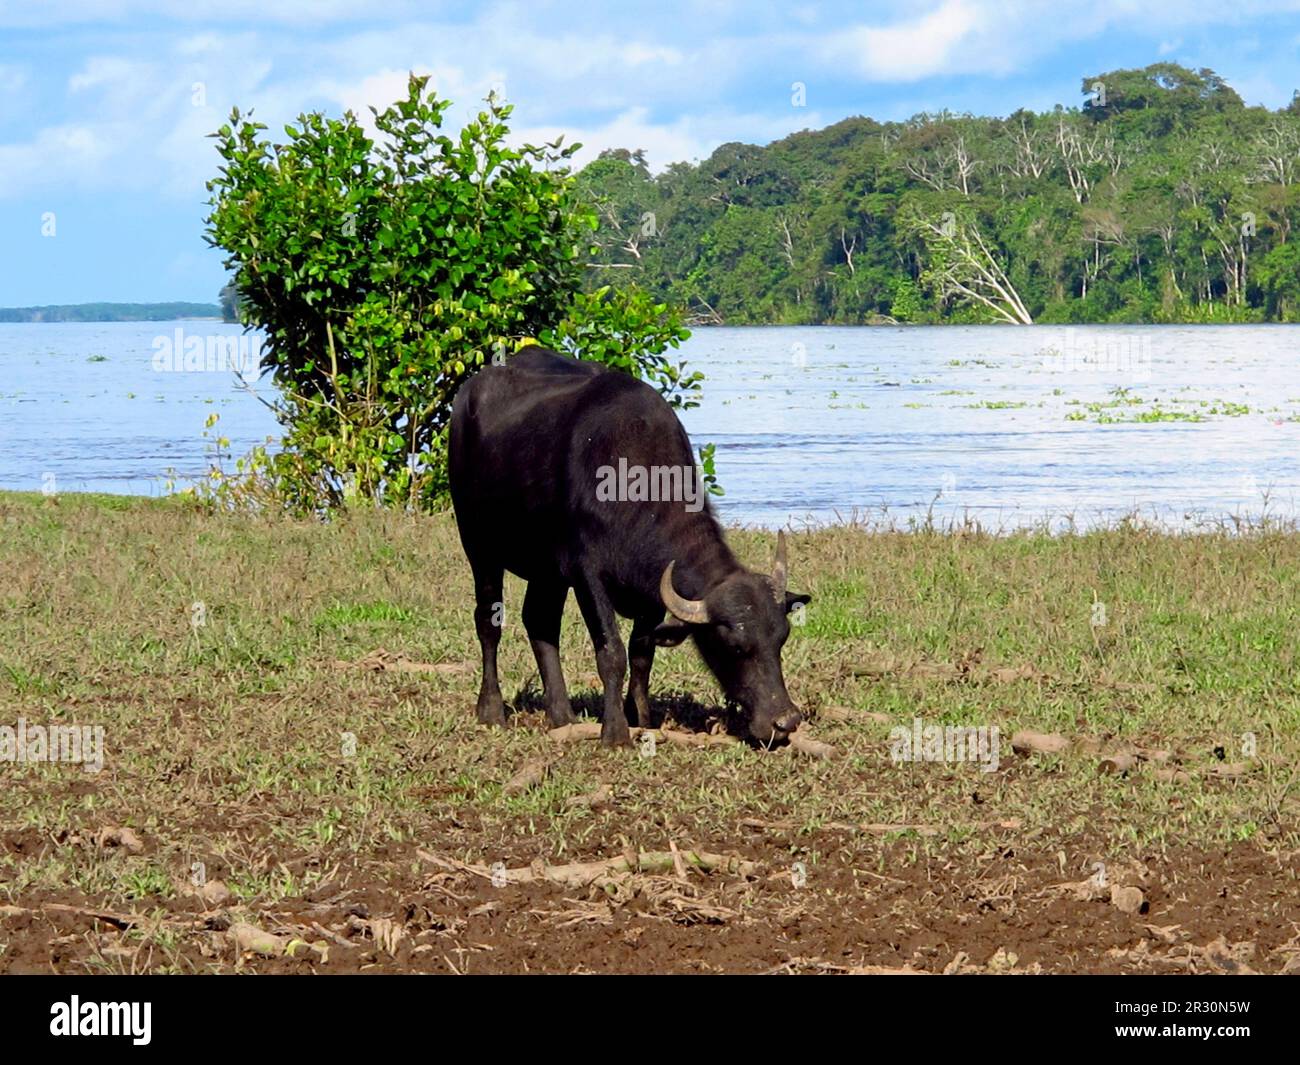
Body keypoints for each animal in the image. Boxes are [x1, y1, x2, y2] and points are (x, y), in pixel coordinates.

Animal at [448, 345, 810, 748]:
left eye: (781, 638)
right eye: (734, 646)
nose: (785, 720)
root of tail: (467, 397)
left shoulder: (650, 592)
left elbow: (642, 653)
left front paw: (641, 718)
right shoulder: (586, 575)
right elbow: (612, 652)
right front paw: (615, 731)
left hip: (547, 572)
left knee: (540, 622)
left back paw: (561, 715)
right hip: (478, 544)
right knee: (488, 622)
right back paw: (491, 709)